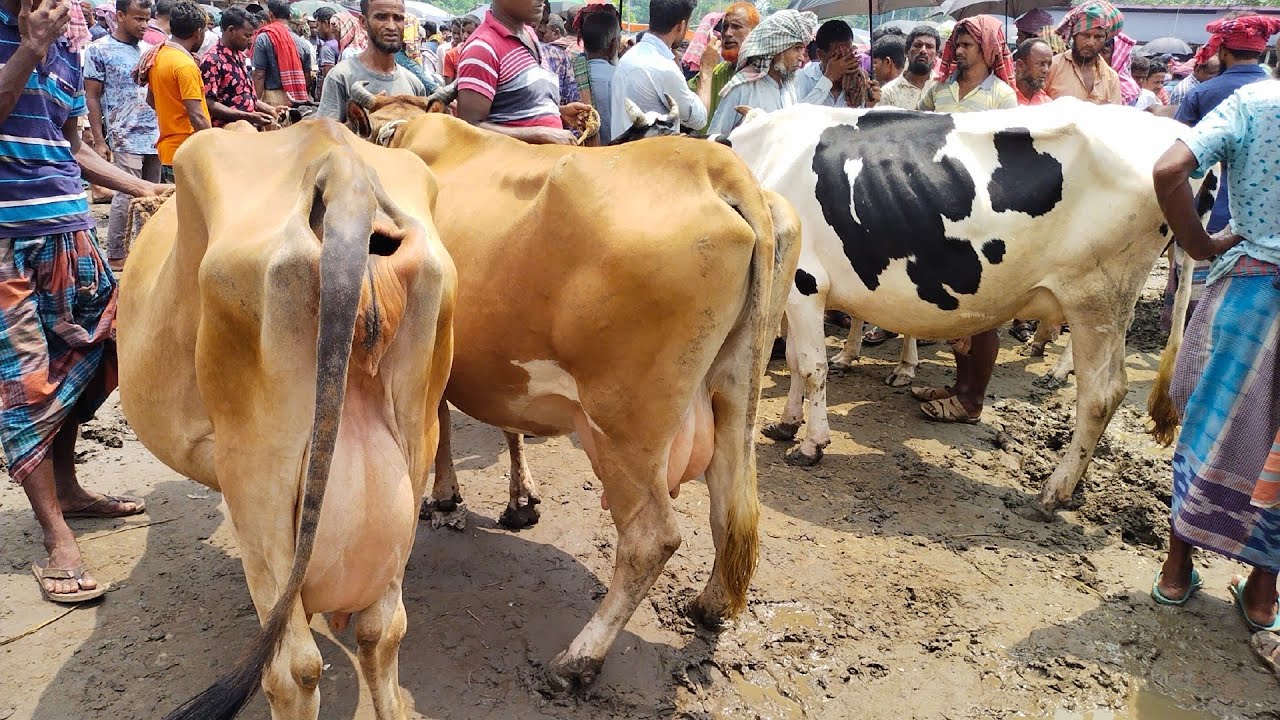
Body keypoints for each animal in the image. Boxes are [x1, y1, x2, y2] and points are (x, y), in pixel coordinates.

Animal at [343, 89, 801, 691]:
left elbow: (441, 420)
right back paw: (709, 607)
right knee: (733, 507)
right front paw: (518, 499)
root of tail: (720, 168)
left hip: (624, 422)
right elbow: (504, 426)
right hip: (734, 392)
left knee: (652, 536)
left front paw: (445, 496)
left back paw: (579, 658)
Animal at [728, 100, 1198, 517]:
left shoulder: (806, 282)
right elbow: (794, 362)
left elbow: (811, 368)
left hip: (1096, 300)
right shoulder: (792, 291)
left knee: (1101, 395)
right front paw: (786, 424)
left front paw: (811, 444)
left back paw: (1055, 489)